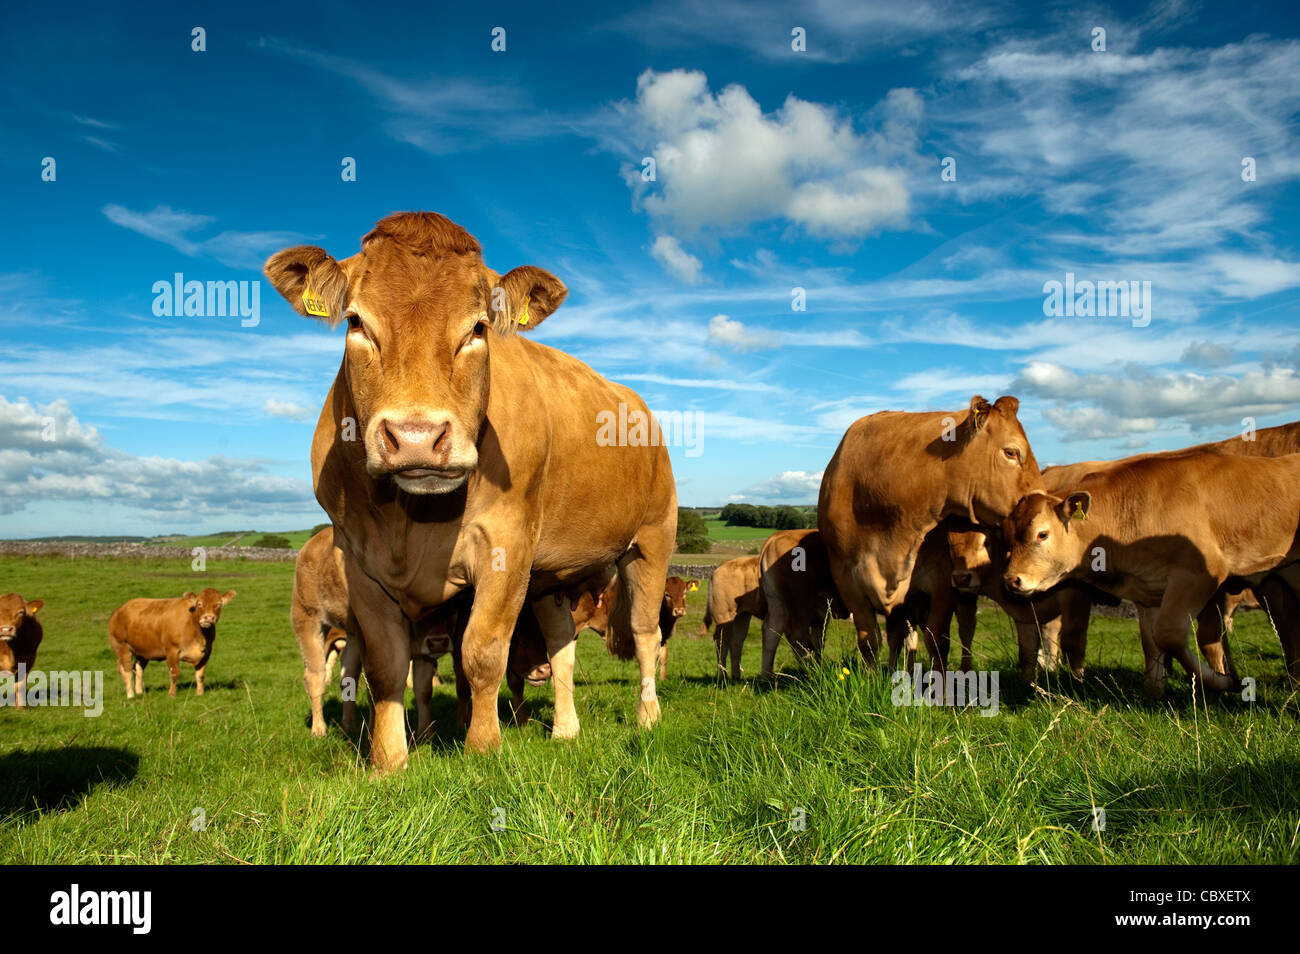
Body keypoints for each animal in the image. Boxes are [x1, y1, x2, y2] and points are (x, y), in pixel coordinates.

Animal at [107, 587, 235, 696]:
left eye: (219, 604)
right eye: (199, 603)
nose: (208, 618)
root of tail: (119, 610)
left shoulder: (206, 652)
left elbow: (200, 675)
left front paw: (199, 693)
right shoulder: (172, 651)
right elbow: (175, 674)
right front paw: (172, 694)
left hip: (142, 650)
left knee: (138, 668)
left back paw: (139, 692)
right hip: (121, 646)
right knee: (127, 670)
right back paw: (131, 695)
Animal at [262, 213, 676, 774]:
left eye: (478, 328)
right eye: (355, 323)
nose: (416, 437)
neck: (410, 518)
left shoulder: (508, 546)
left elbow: (482, 652)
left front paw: (484, 748)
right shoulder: (358, 560)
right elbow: (386, 664)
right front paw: (388, 761)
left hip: (651, 539)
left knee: (644, 632)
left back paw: (648, 717)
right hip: (551, 579)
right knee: (562, 644)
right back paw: (565, 729)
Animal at [707, 556, 764, 686]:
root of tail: (725, 563)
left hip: (742, 615)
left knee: (736, 641)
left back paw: (736, 677)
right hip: (724, 614)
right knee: (722, 642)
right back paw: (722, 678)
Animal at [821, 392, 1045, 670]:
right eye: (1011, 452)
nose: (1046, 503)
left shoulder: (941, 584)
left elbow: (938, 641)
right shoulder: (846, 578)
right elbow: (870, 641)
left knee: (965, 630)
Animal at [1003, 452, 1300, 696]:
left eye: (1042, 534)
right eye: (1009, 537)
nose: (1011, 580)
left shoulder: (1198, 574)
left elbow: (1169, 634)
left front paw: (1222, 681)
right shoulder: (1148, 592)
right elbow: (1151, 643)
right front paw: (1154, 694)